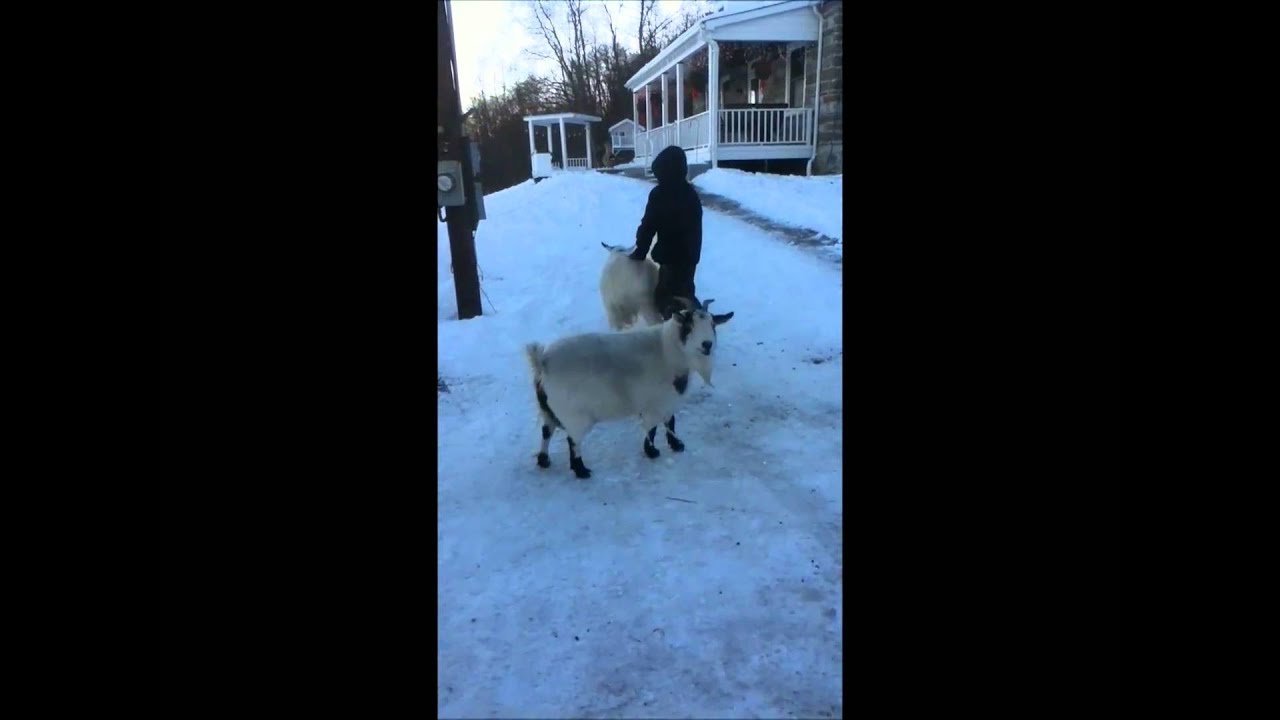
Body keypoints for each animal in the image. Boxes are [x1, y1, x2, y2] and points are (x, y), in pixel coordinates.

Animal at [525, 297, 735, 479]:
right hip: (575, 415)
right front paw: (652, 451)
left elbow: (670, 421)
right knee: (573, 441)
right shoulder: (656, 401)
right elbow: (653, 428)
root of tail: (542, 363)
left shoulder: (666, 399)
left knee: (546, 431)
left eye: (713, 325)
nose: (707, 344)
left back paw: (544, 461)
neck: (668, 349)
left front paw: (676, 445)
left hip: (549, 409)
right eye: (689, 326)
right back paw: (581, 470)